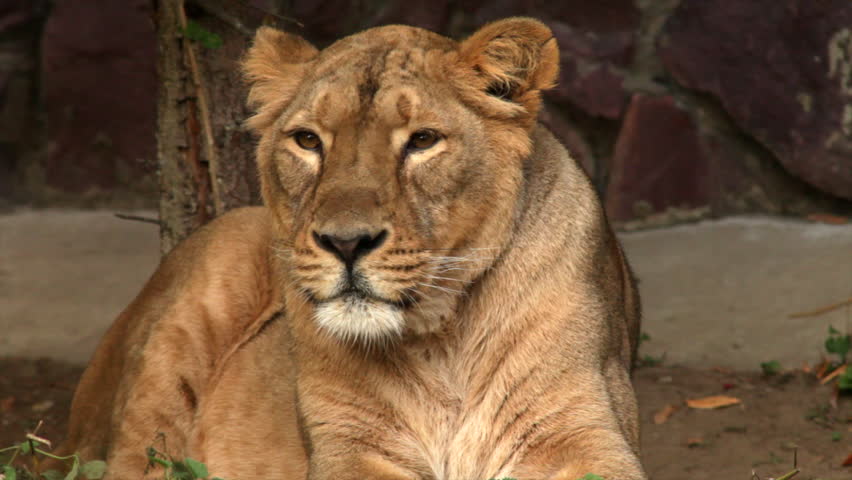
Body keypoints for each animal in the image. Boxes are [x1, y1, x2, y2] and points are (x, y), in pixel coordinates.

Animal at [52, 17, 646, 480]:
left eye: (423, 140)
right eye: (308, 140)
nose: (346, 242)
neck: (442, 342)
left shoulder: (580, 428)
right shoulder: (347, 443)